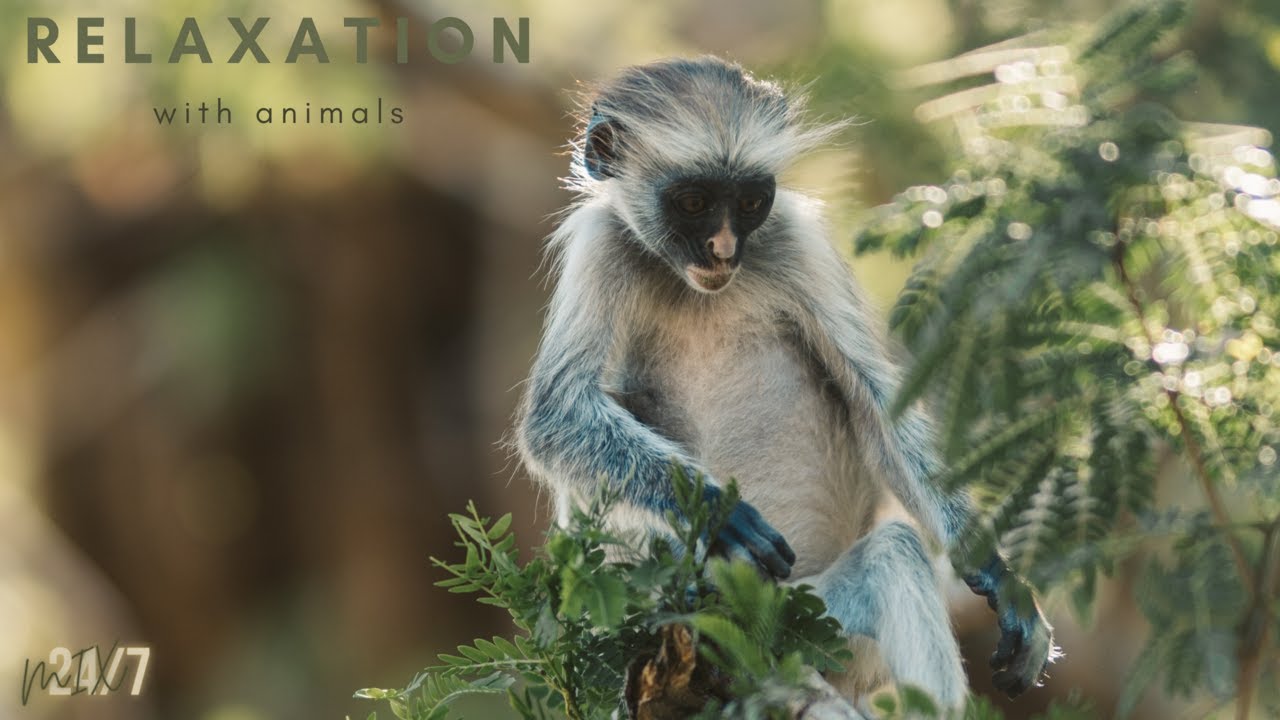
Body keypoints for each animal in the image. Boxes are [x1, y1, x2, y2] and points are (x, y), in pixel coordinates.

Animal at [515, 56, 1057, 711]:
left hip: (816, 625)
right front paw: (721, 513)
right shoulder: (603, 241)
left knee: (892, 556)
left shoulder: (792, 237)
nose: (723, 248)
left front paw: (995, 573)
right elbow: (557, 417)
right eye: (693, 201)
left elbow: (876, 405)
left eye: (750, 202)